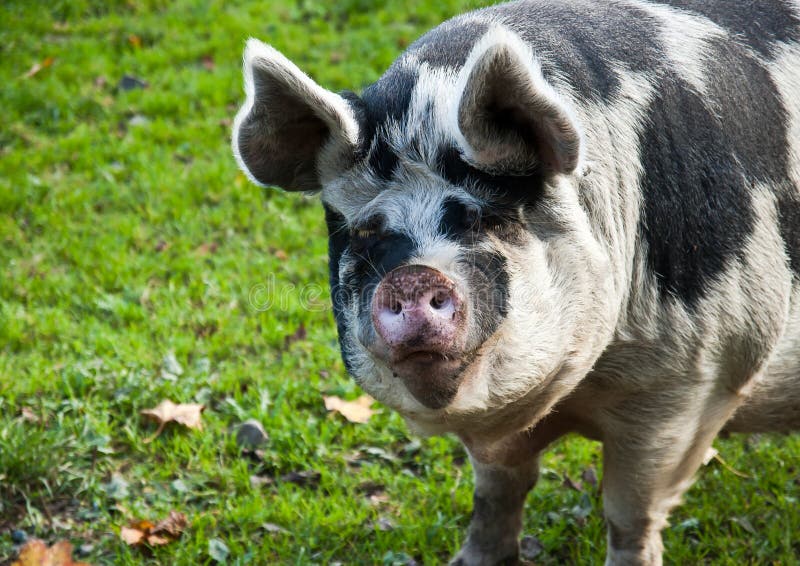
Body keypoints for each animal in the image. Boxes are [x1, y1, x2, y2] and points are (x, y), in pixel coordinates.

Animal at [231, 1, 800, 564]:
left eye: (489, 217)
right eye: (365, 232)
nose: (412, 276)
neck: (582, 389)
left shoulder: (694, 378)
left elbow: (629, 512)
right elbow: (498, 488)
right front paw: (472, 560)